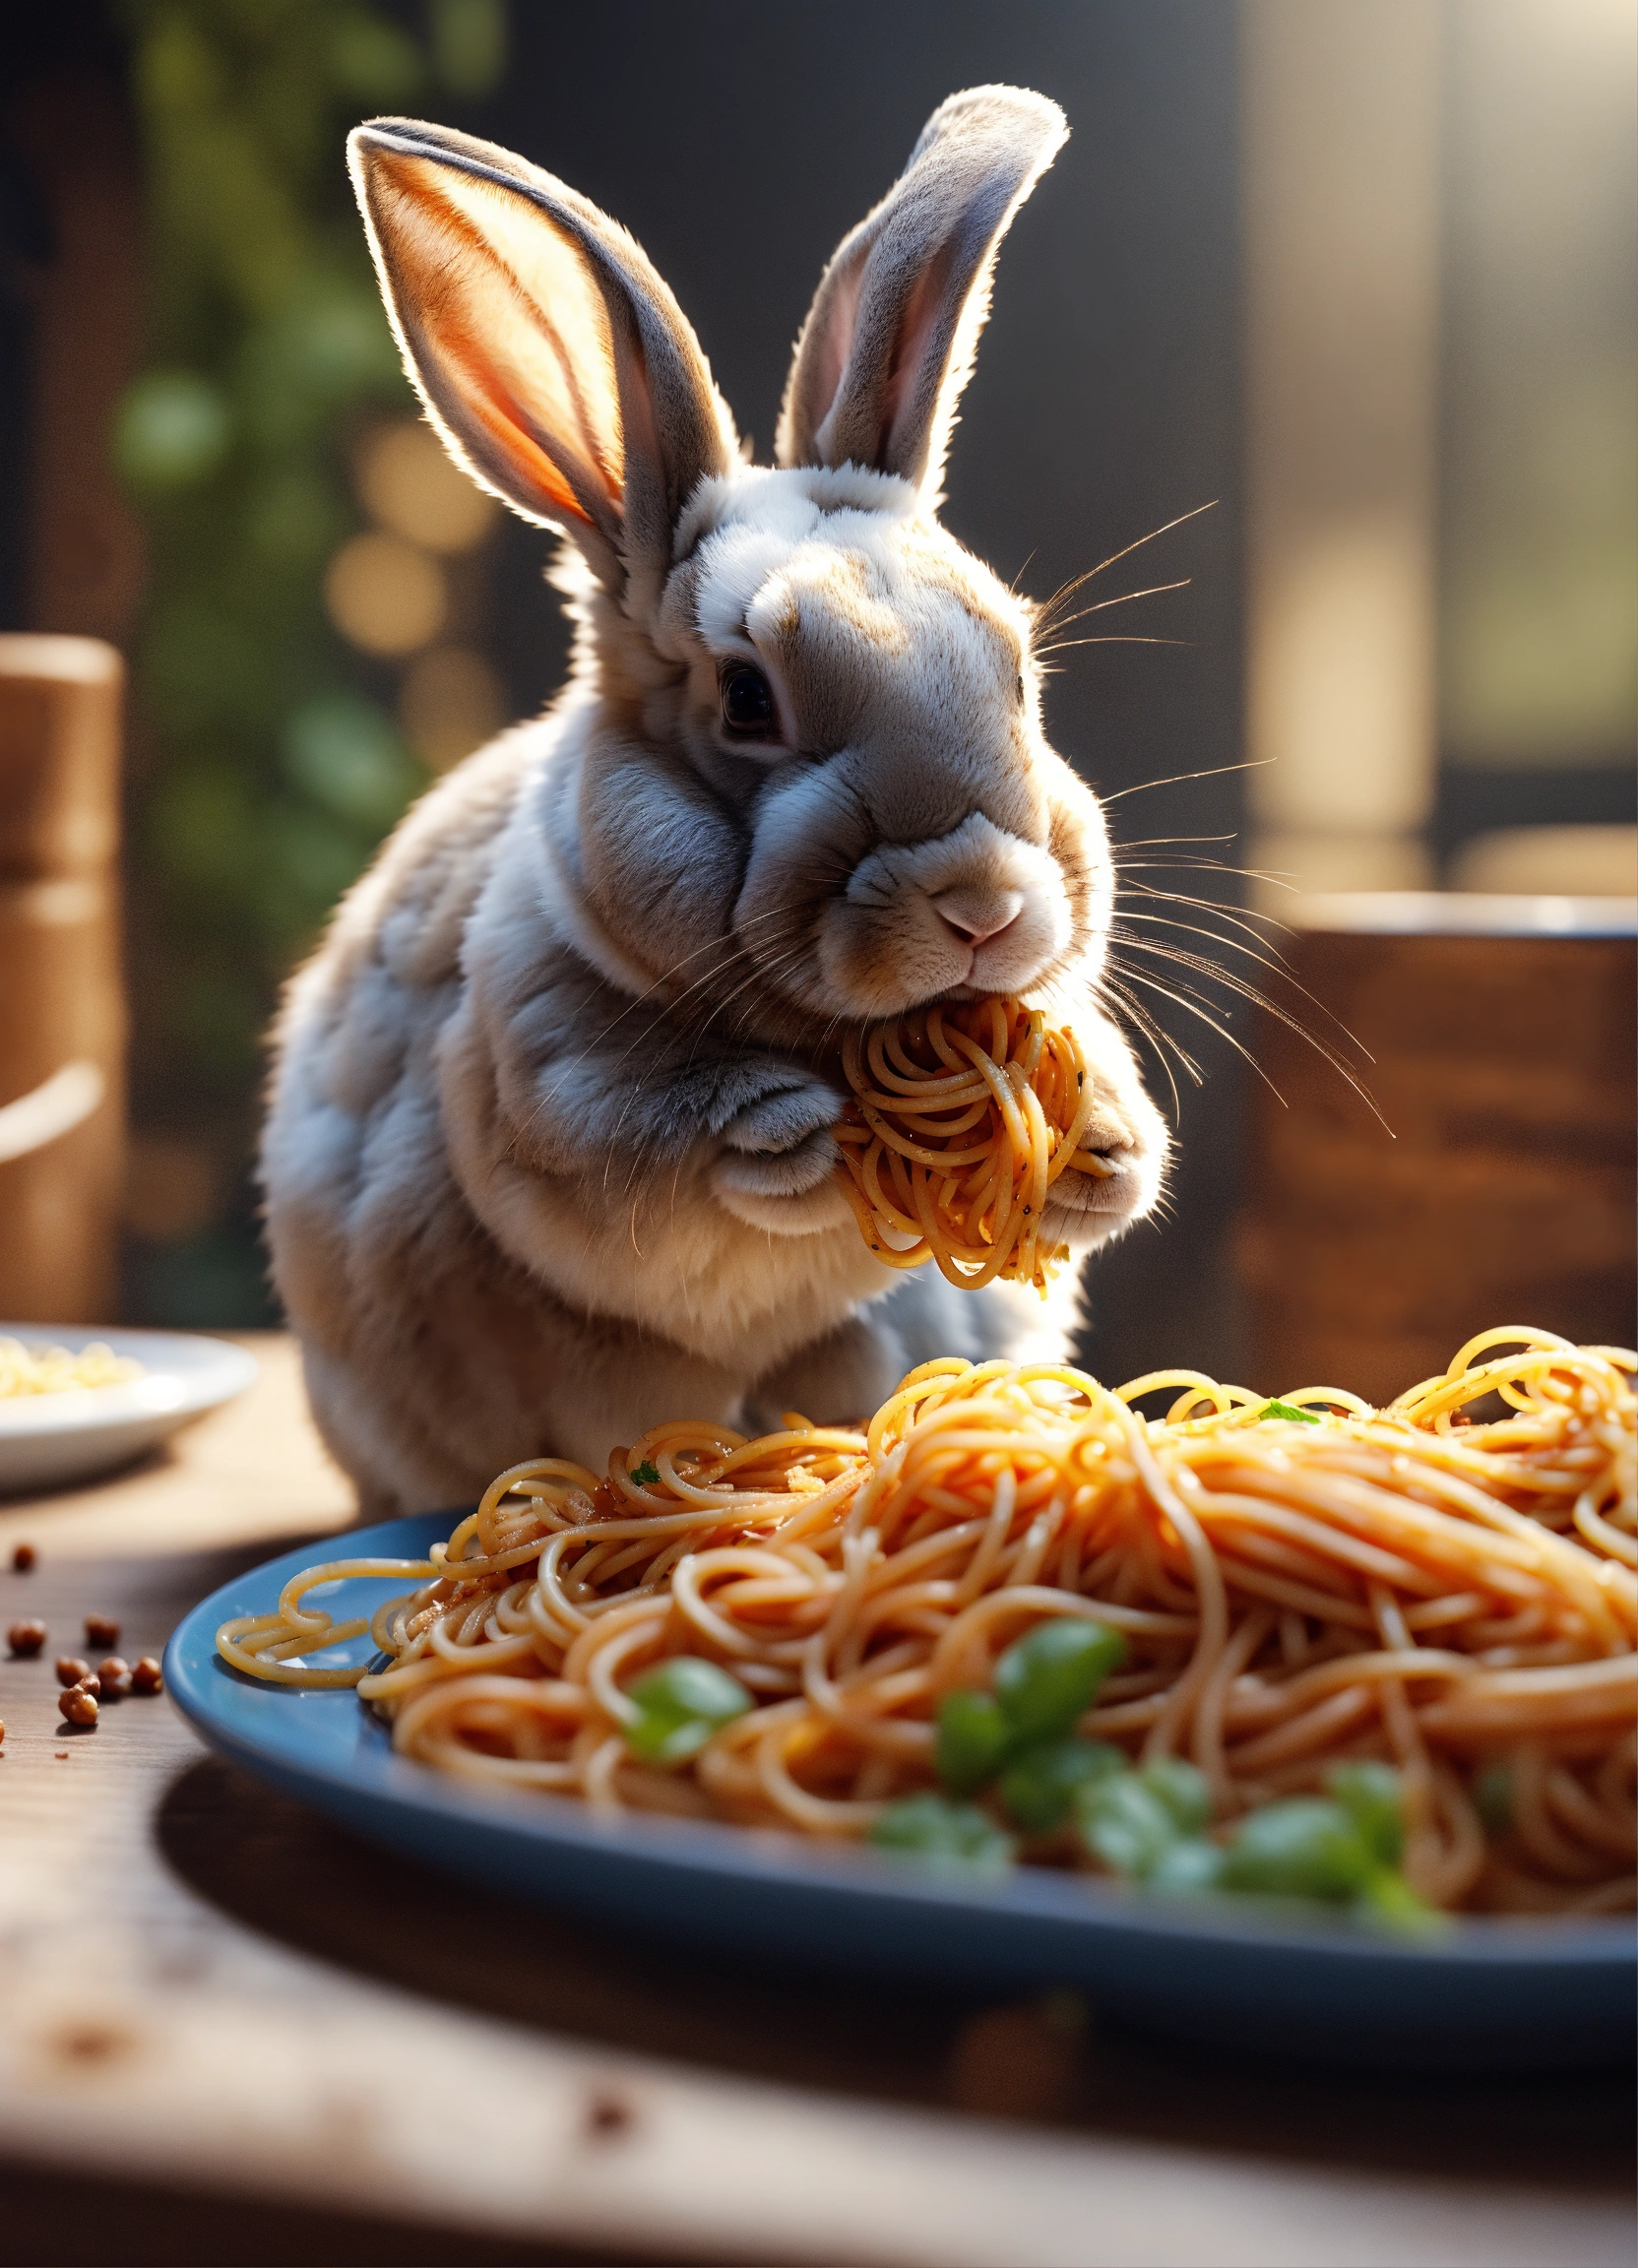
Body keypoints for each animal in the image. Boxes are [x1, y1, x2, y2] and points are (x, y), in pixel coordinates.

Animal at [261, 85, 1170, 1518]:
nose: (981, 907)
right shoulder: (542, 1072)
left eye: (1019, 669)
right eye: (747, 701)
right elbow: (652, 1162)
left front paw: (1102, 1152)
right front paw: (786, 1133)